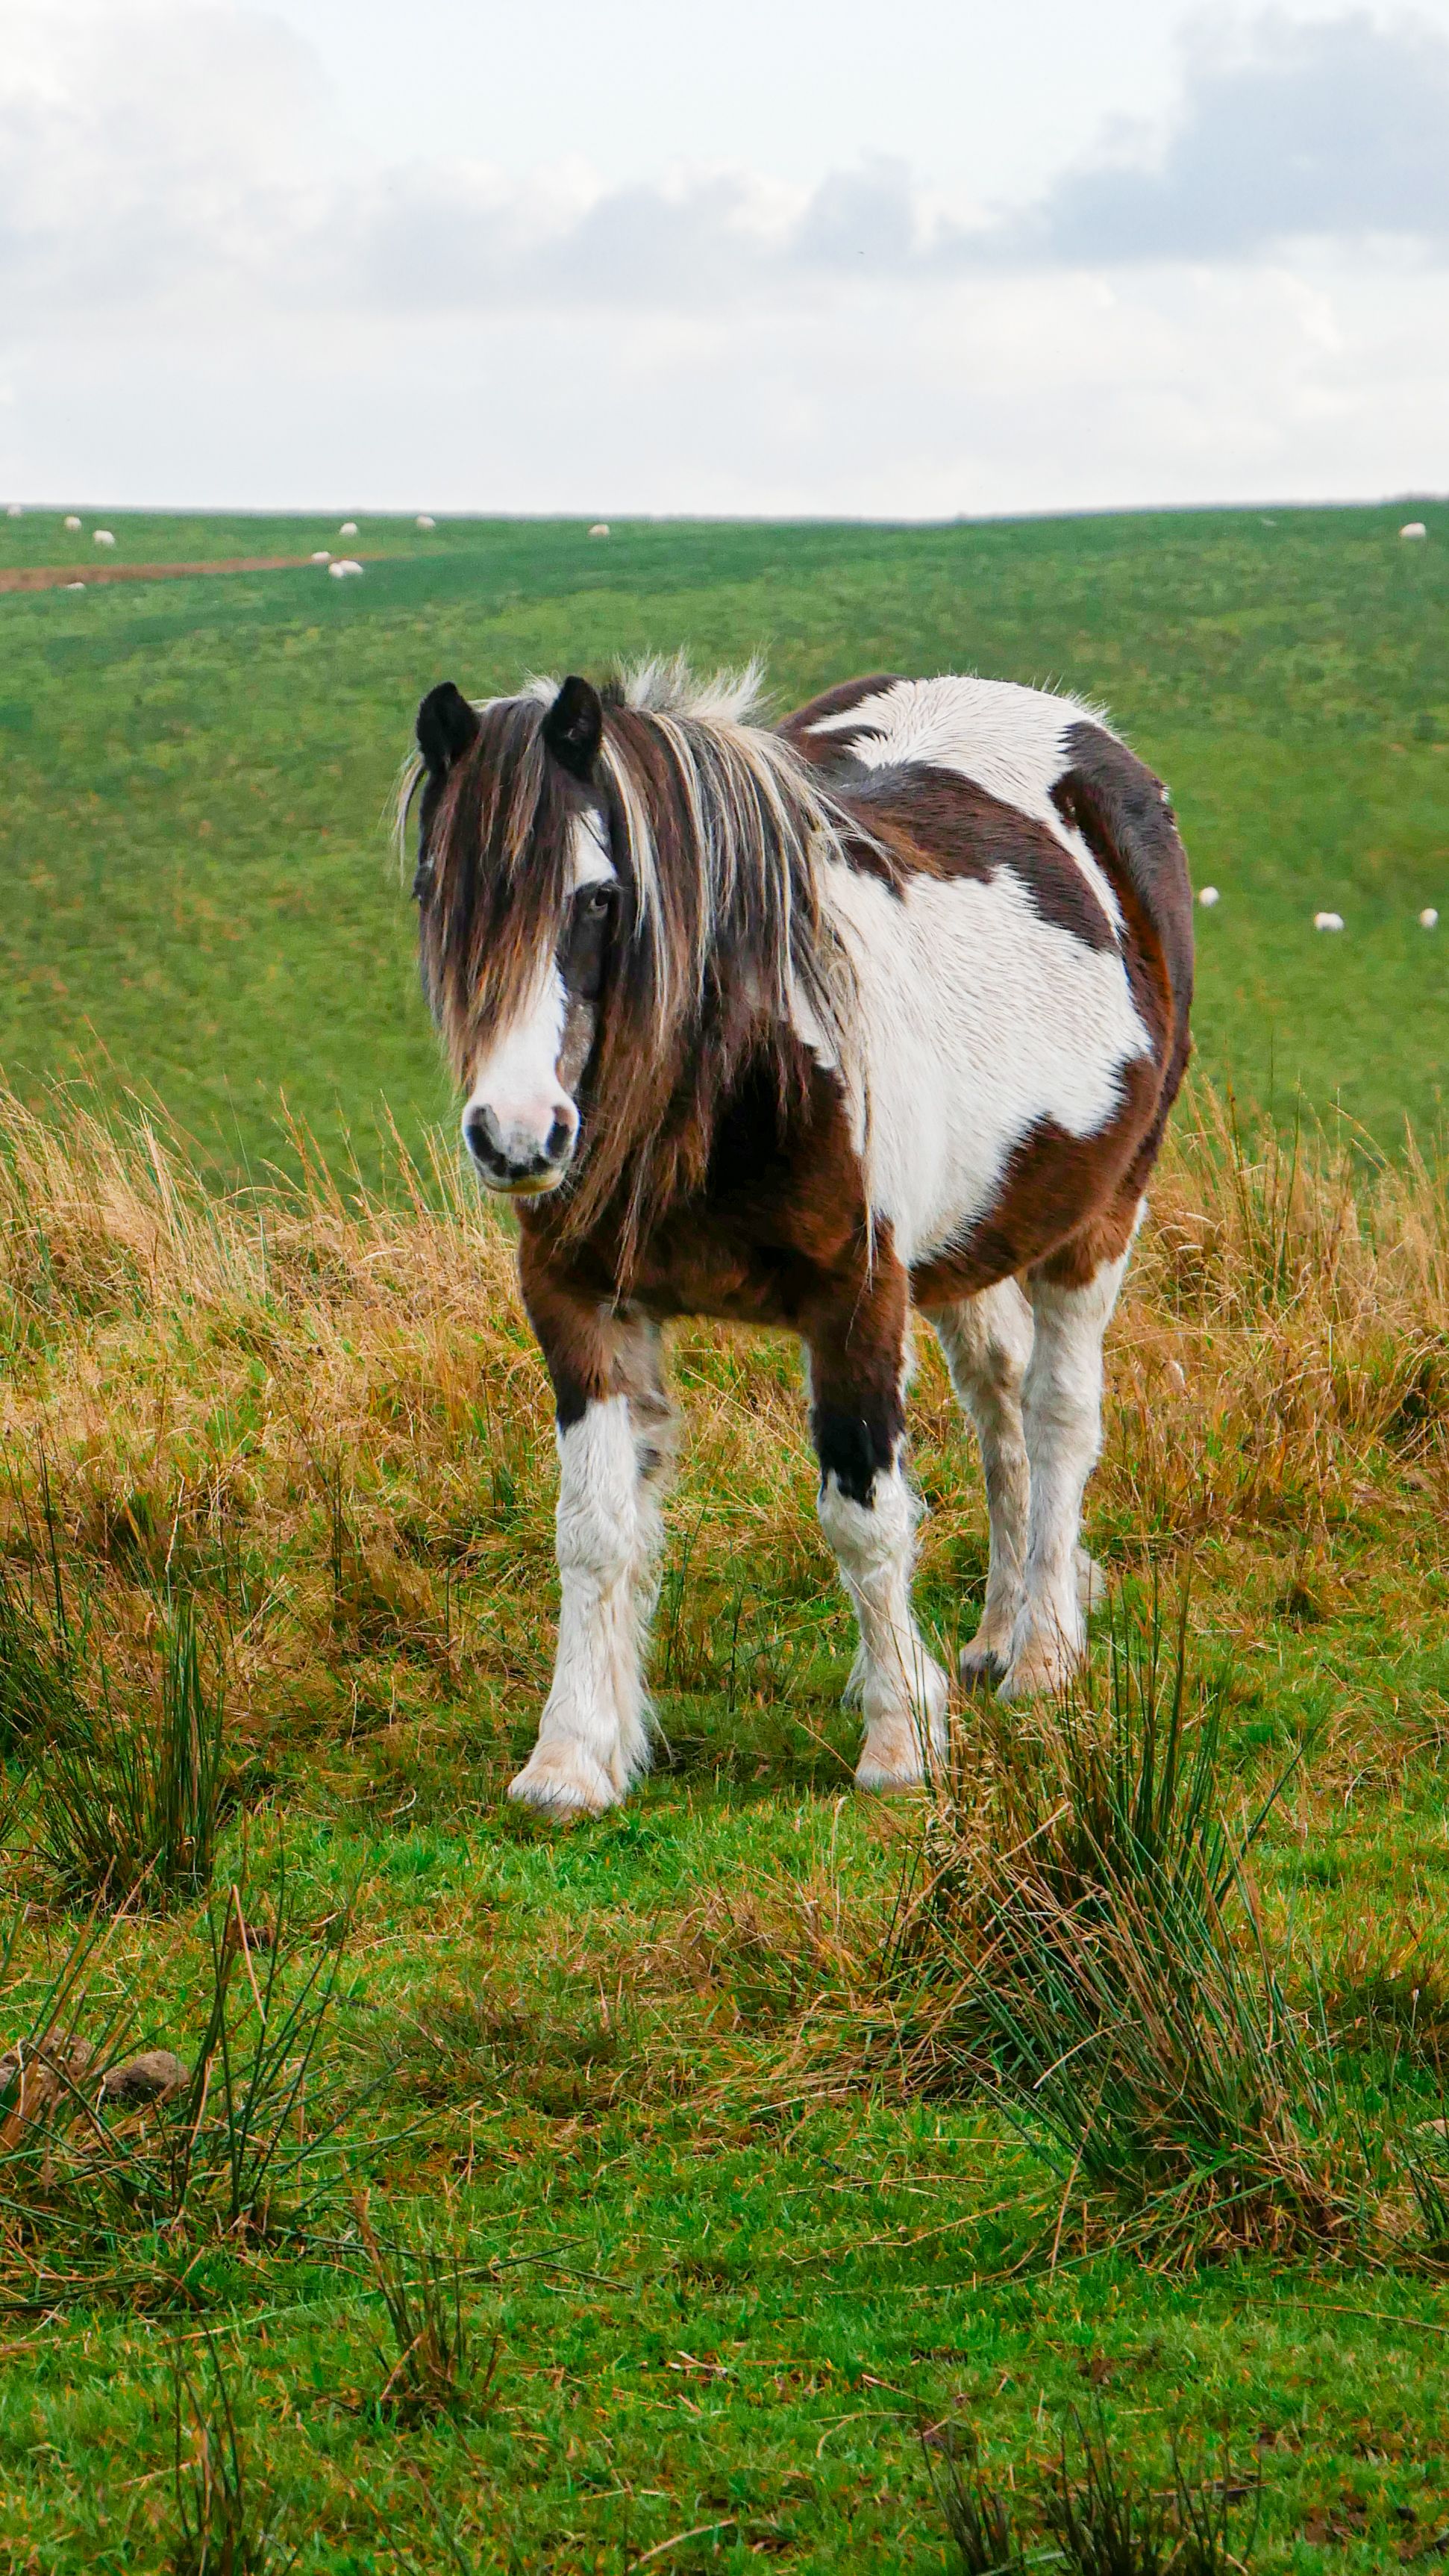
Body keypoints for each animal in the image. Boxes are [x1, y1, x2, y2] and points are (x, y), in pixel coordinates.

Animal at [406, 658, 1193, 1816]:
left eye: (597, 896)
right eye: (436, 894)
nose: (515, 1136)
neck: (735, 1068)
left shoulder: (857, 1300)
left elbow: (863, 1516)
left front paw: (900, 1739)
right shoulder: (580, 1301)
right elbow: (594, 1528)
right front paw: (573, 1756)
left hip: (1095, 1218)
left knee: (1056, 1417)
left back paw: (1044, 1655)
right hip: (966, 1247)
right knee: (999, 1404)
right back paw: (996, 1638)